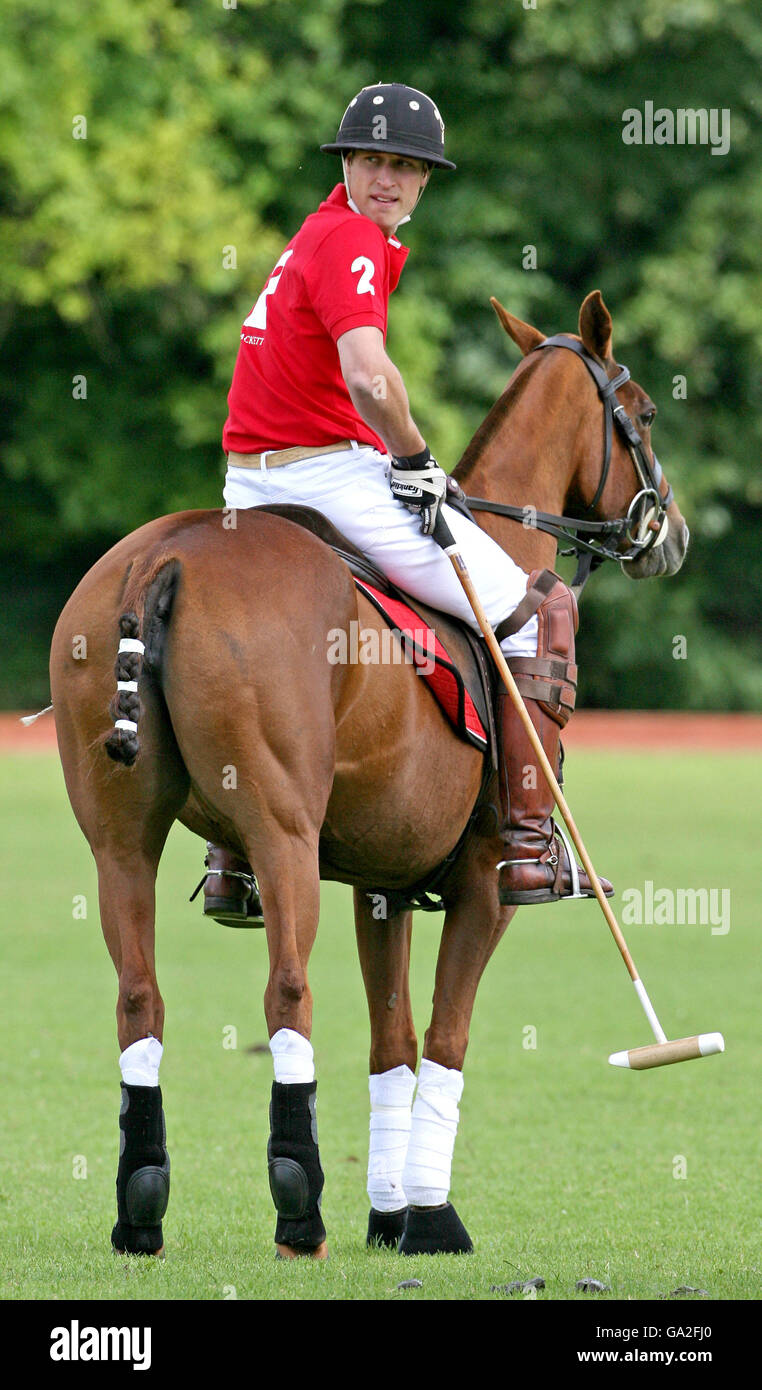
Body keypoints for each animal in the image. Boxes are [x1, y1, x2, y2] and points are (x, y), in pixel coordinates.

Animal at [49, 290, 689, 1262]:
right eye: (645, 413)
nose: (672, 535)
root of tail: (164, 559)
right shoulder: (481, 884)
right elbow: (448, 1038)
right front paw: (432, 1217)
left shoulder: (379, 883)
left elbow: (393, 1041)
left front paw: (389, 1217)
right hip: (280, 828)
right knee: (287, 990)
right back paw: (298, 1211)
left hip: (117, 833)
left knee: (138, 997)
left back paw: (140, 1213)